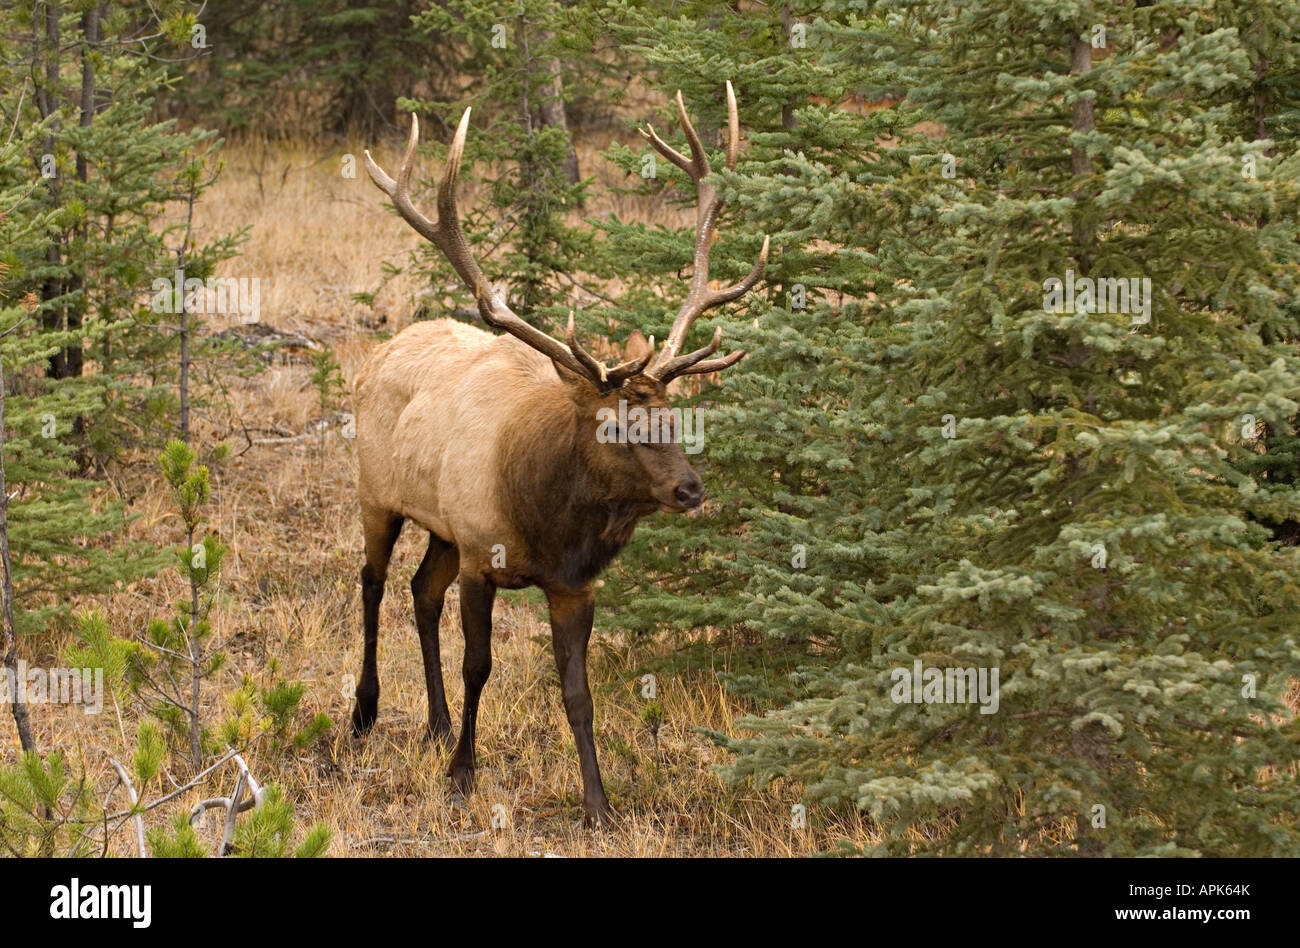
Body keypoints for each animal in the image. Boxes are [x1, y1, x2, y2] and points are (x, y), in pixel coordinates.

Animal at [353, 82, 767, 826]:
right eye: (617, 427)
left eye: (673, 416)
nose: (690, 489)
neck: (544, 520)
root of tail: (378, 352)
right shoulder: (481, 556)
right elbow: (480, 666)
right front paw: (464, 774)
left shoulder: (574, 584)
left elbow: (578, 693)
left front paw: (598, 804)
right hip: (377, 493)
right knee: (371, 583)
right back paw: (366, 712)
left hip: (441, 526)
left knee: (419, 593)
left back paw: (436, 724)